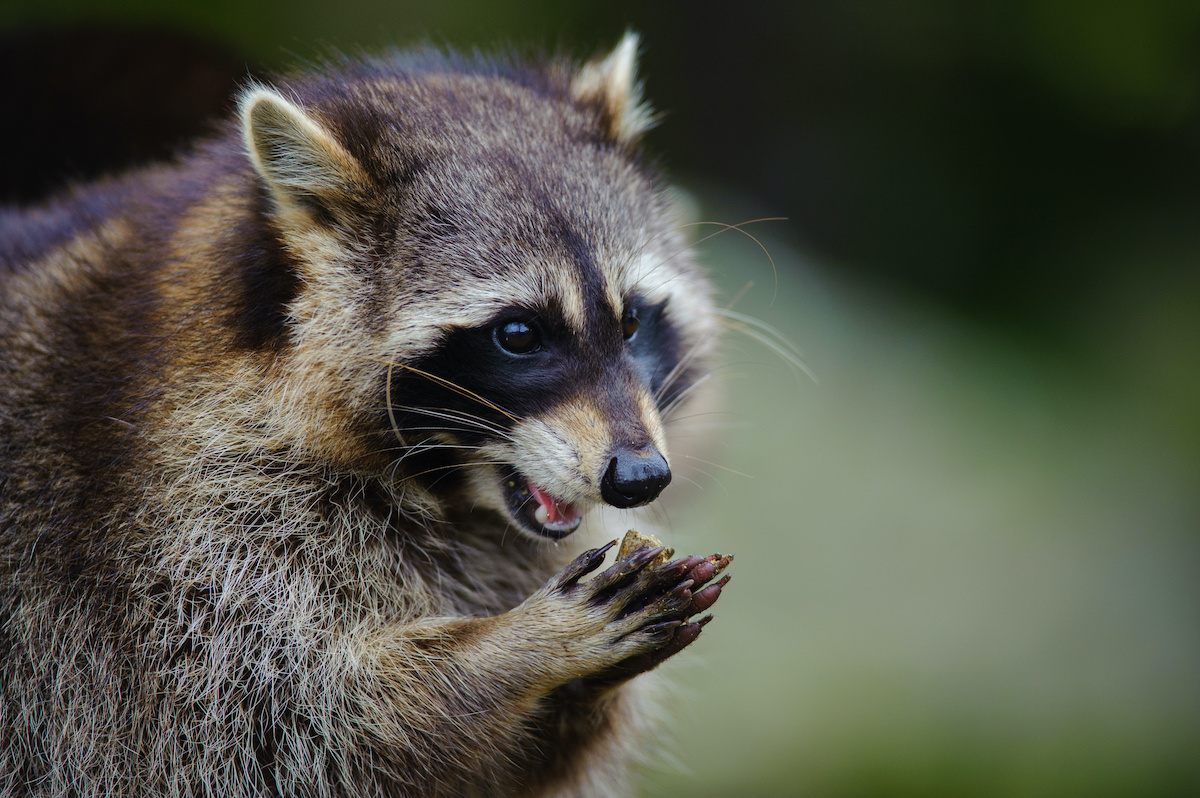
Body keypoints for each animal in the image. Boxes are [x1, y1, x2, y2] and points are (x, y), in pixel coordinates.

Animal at [0, 32, 731, 797]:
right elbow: (298, 728)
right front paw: (517, 650)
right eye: (518, 334)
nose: (640, 477)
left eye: (632, 322)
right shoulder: (174, 543)